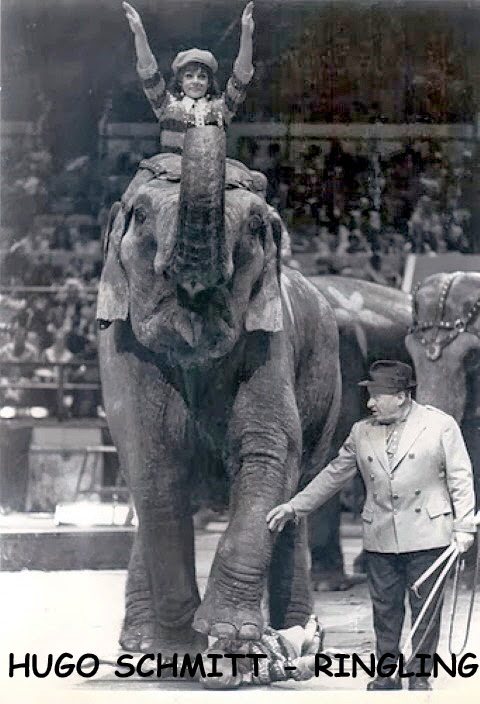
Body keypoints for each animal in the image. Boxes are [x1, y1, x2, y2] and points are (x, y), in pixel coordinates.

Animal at [96, 126, 342, 655]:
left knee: (298, 498)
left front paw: (229, 634)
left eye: (255, 225)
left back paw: (298, 634)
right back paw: (140, 643)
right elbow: (152, 457)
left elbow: (269, 450)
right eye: (140, 215)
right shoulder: (122, 346)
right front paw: (178, 644)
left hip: (326, 380)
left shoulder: (270, 341)